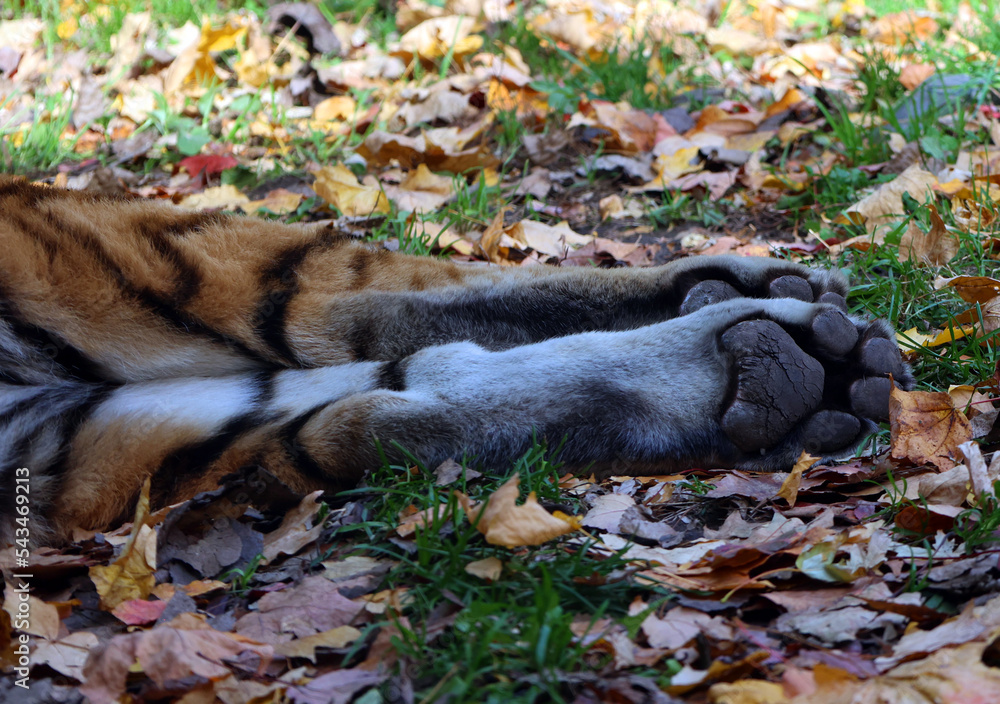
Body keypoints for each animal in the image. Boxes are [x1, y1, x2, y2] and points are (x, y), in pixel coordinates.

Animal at [0, 176, 912, 546]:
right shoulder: (92, 451)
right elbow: (371, 421)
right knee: (387, 369)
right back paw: (793, 369)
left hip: (157, 260)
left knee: (384, 297)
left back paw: (759, 289)